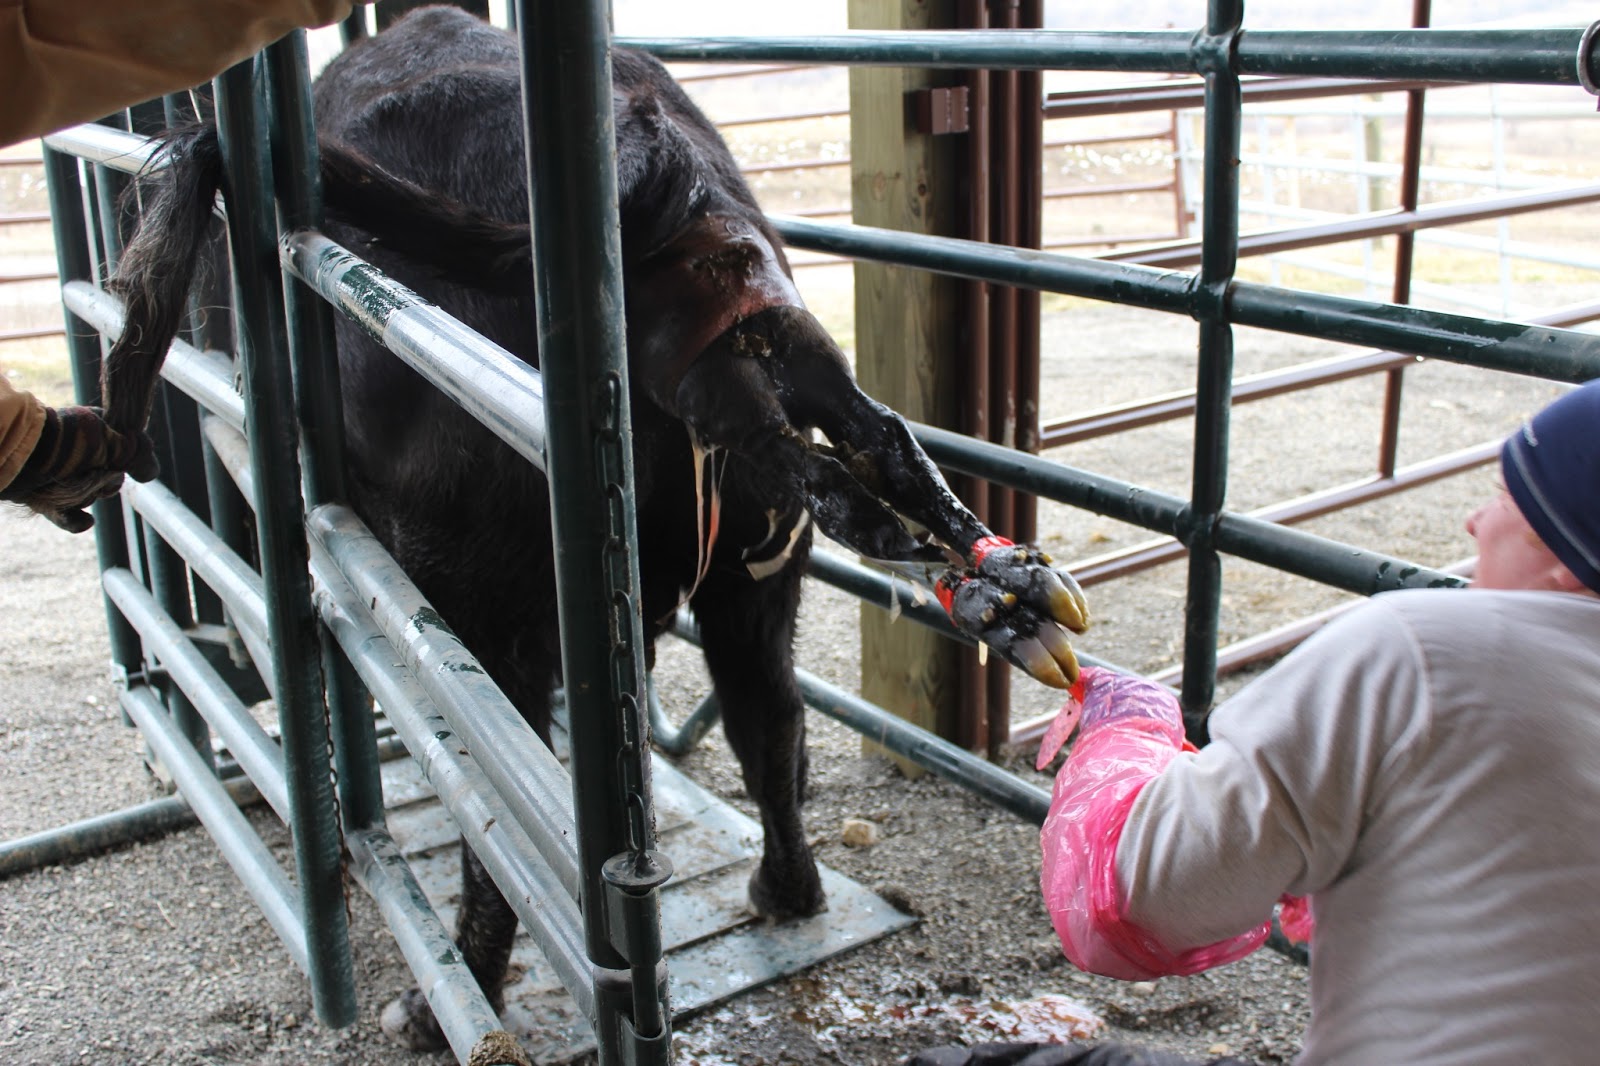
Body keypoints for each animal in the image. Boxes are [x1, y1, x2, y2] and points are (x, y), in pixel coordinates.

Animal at [105, 5, 1087, 1050]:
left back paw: (449, 999)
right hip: (765, 455)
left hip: (478, 595)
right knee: (787, 663)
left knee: (498, 790)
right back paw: (999, 602)